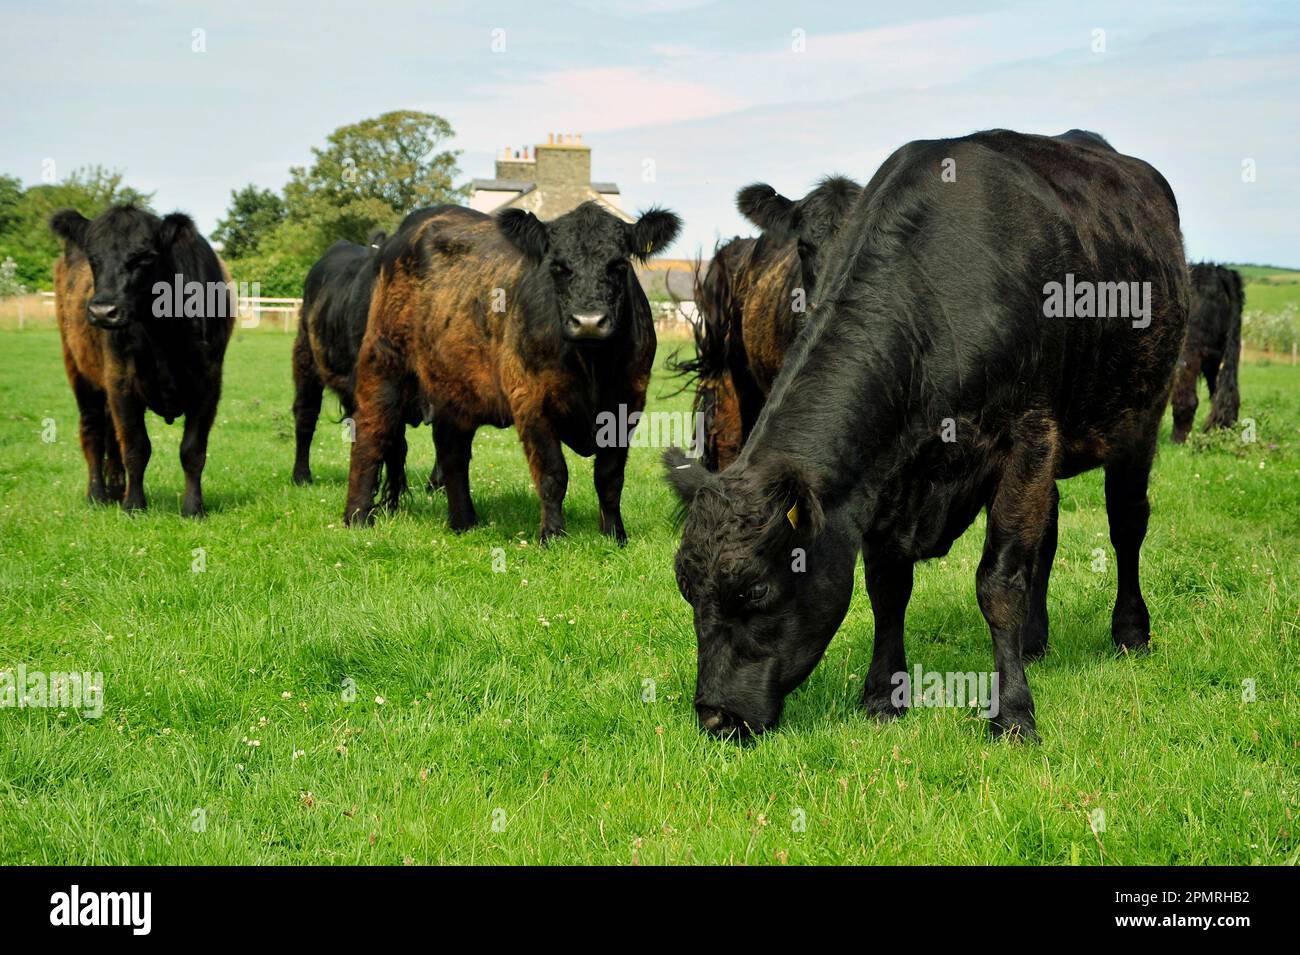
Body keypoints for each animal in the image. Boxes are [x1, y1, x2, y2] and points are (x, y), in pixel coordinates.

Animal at [49, 205, 234, 517]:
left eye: (145, 256)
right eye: (93, 257)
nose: (103, 311)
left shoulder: (209, 383)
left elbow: (193, 450)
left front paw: (193, 507)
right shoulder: (121, 380)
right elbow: (136, 446)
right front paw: (134, 505)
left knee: (111, 435)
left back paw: (115, 489)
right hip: (79, 371)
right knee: (93, 431)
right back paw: (97, 494)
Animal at [344, 201, 681, 543]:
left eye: (619, 265)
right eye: (557, 266)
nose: (588, 322)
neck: (591, 365)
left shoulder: (628, 402)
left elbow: (609, 476)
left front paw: (615, 535)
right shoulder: (531, 400)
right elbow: (553, 473)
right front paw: (553, 536)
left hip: (453, 387)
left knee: (452, 454)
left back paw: (463, 522)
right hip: (382, 365)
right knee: (370, 437)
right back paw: (357, 517)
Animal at [665, 129, 1188, 742]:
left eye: (754, 590)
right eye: (687, 589)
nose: (714, 716)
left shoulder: (1028, 436)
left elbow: (999, 582)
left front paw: (1013, 713)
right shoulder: (882, 478)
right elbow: (887, 586)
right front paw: (883, 696)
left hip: (1141, 413)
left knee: (1127, 523)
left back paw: (1130, 631)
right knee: (1050, 533)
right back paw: (1036, 641)